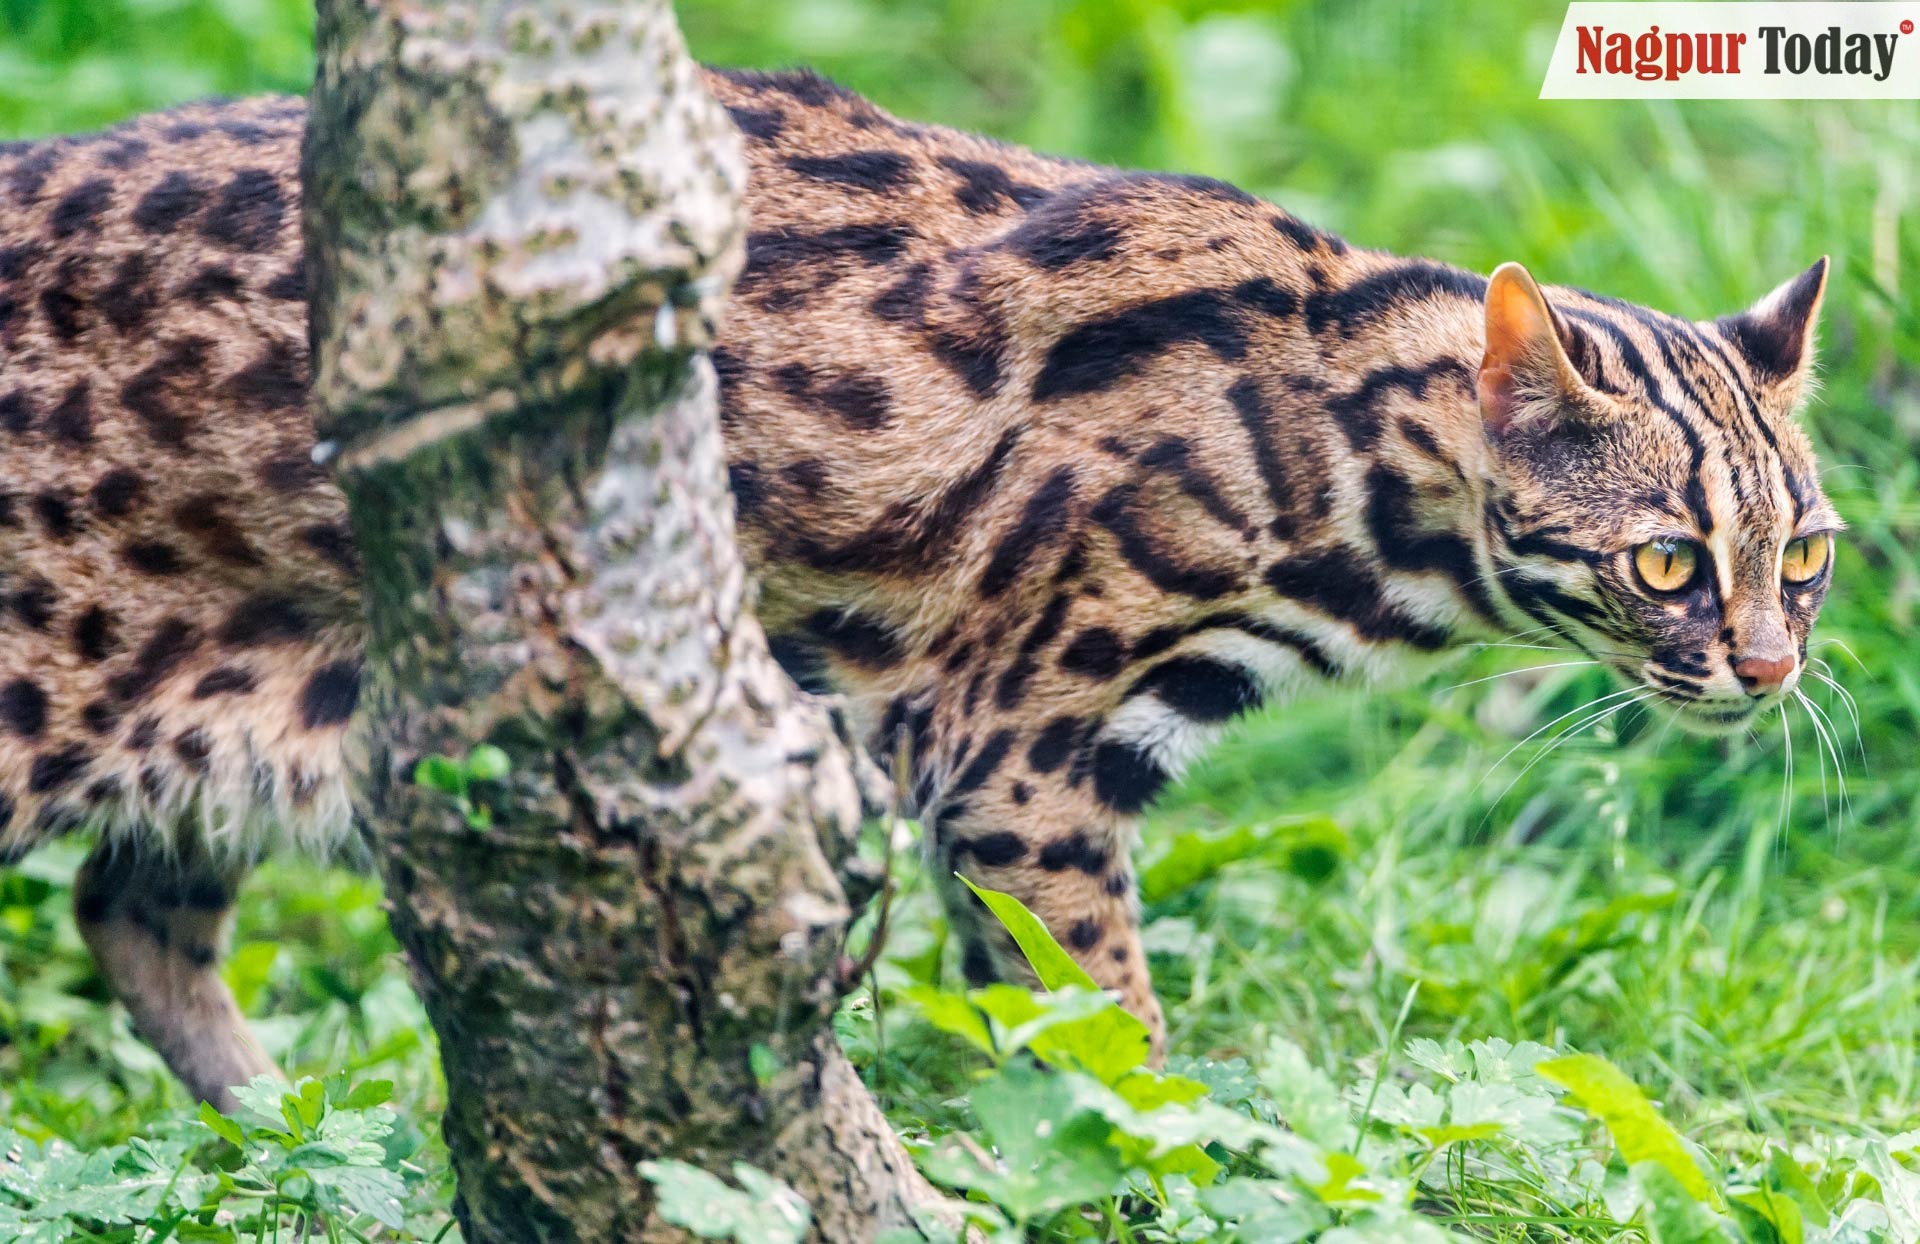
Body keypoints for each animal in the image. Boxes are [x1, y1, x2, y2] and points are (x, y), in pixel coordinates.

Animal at [0, 67, 1839, 1108]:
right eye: (1668, 558)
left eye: (1807, 558)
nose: (1766, 672)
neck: (1342, 447)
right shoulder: (1021, 752)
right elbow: (1106, 1016)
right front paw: (1156, 1152)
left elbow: (1018, 1017)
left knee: (131, 912)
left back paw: (286, 1127)